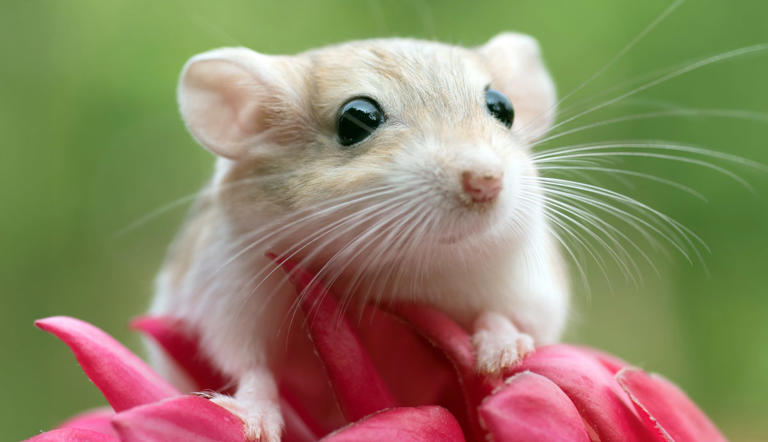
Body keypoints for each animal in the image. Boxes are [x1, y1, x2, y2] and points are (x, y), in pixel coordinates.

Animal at [150, 33, 568, 440]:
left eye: (502, 107)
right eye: (356, 118)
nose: (486, 182)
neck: (405, 265)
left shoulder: (531, 290)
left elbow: (505, 316)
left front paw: (503, 354)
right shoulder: (227, 301)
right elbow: (251, 367)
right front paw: (252, 425)